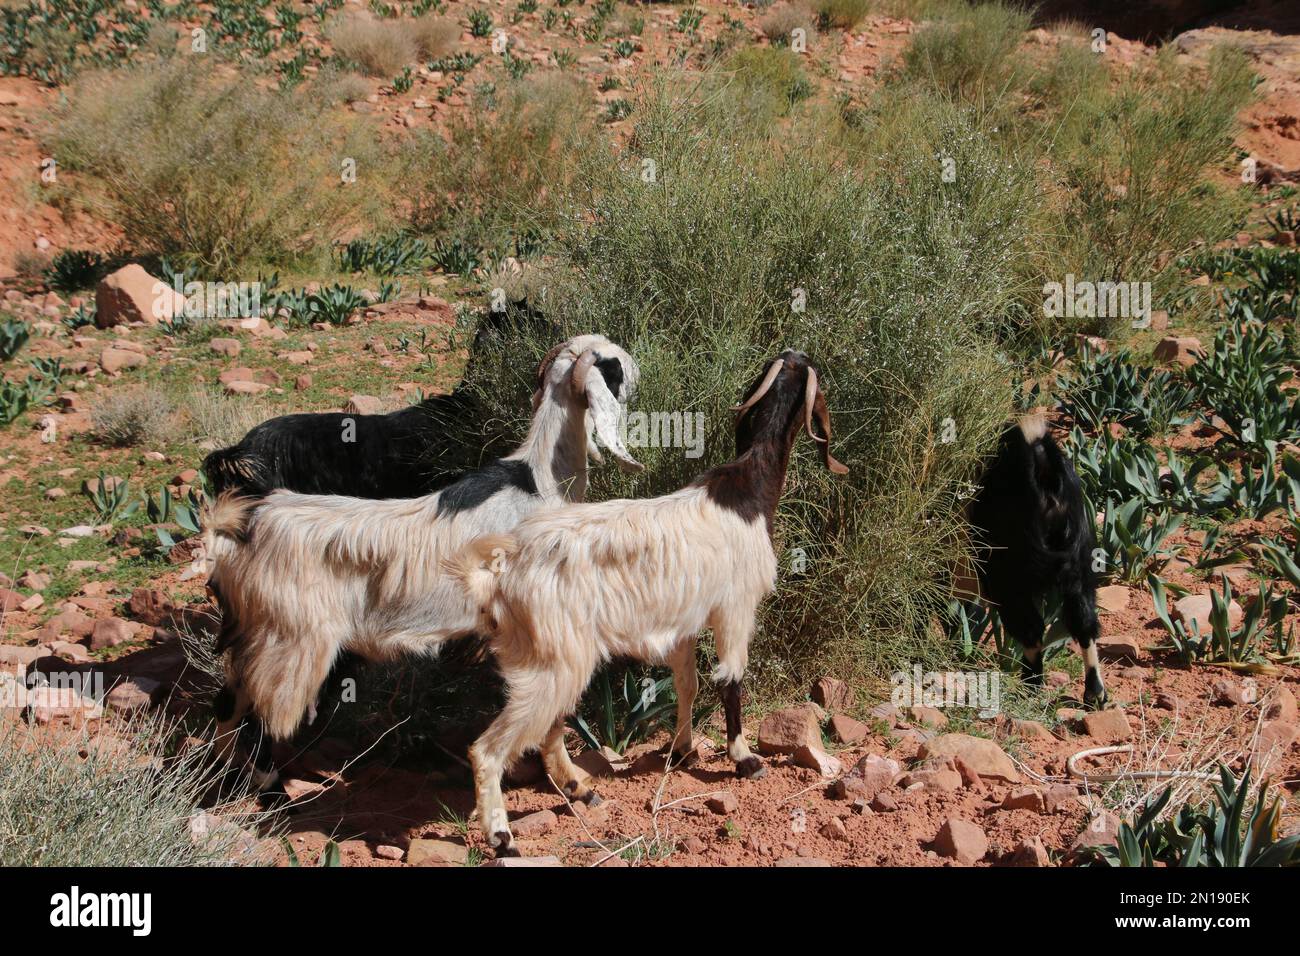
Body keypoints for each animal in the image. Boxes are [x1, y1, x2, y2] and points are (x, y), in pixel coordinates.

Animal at [202, 334, 641, 791]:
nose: (638, 369)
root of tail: (238, 530)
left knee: (227, 704)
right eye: (612, 364)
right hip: (289, 645)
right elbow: (554, 712)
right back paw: (269, 786)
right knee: (261, 716)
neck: (538, 480)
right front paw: (573, 782)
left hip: (254, 636)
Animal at [447, 350, 848, 856]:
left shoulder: (685, 623)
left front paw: (683, 749)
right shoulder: (735, 607)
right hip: (555, 661)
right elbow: (730, 680)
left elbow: (687, 685)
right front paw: (744, 758)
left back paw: (581, 790)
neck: (745, 493)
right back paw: (502, 836)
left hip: (552, 660)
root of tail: (500, 574)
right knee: (490, 747)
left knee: (548, 727)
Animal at [961, 413, 1105, 708]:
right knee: (1084, 621)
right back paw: (1094, 693)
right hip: (1080, 556)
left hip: (1007, 570)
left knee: (1030, 628)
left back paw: (1030, 685)